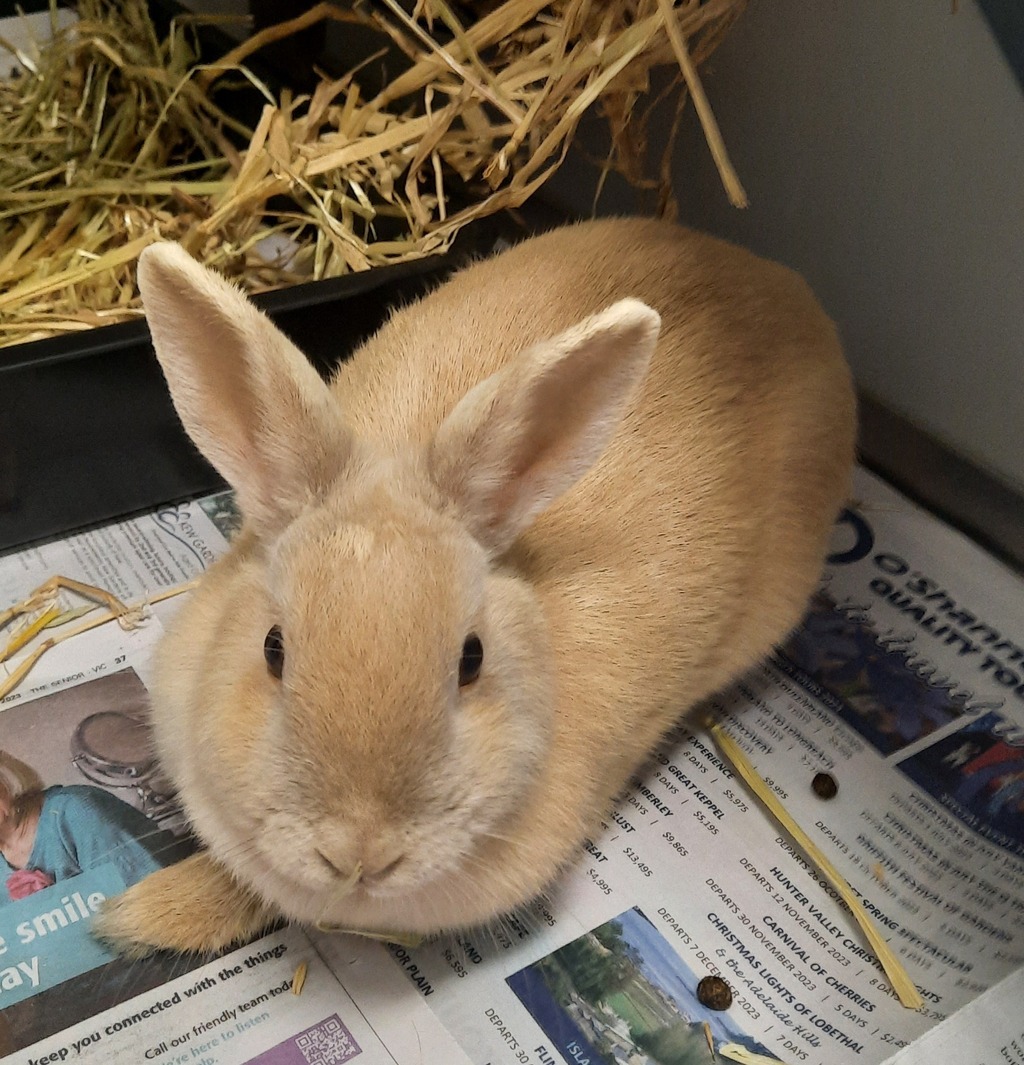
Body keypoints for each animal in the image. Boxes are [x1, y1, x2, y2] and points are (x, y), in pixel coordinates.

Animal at [94, 217, 856, 956]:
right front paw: (143, 914)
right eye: (272, 648)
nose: (359, 855)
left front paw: (134, 918)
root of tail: (786, 287)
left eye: (472, 660)